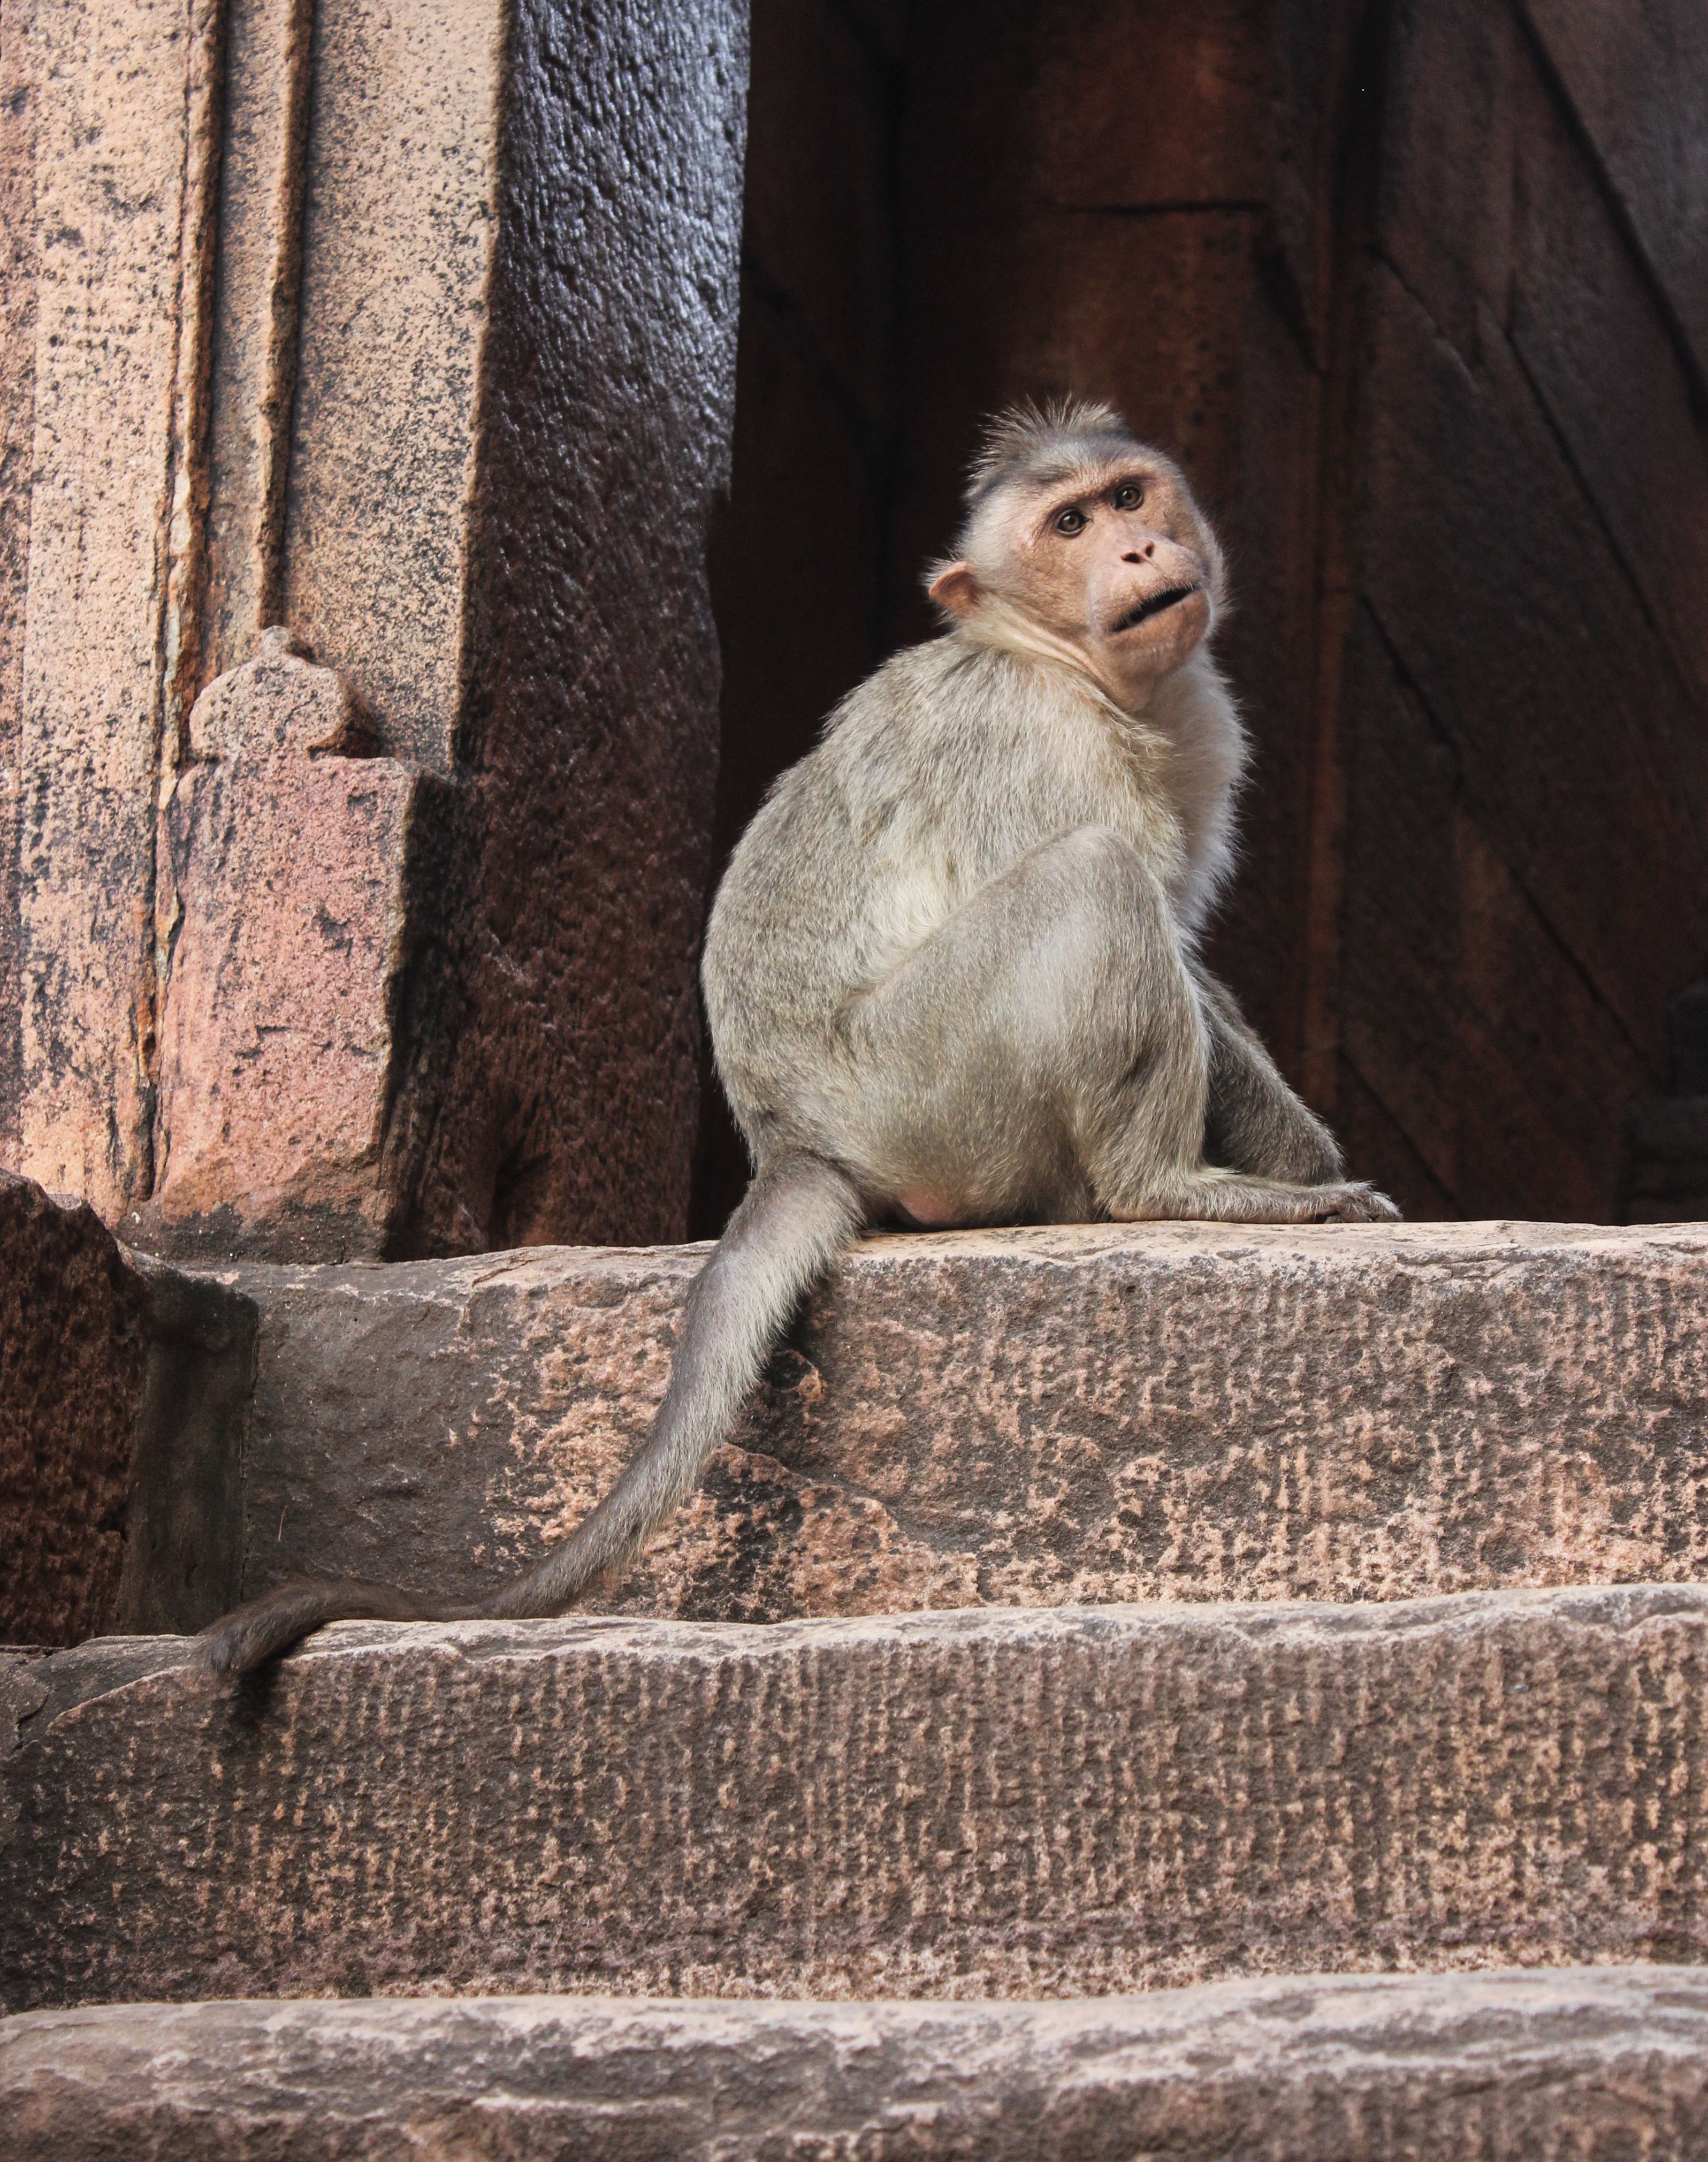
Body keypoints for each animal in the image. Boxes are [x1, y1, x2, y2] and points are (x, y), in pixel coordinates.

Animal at [200, 398, 1397, 1675]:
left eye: (1127, 497)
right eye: (1067, 526)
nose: (1135, 548)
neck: (1050, 658)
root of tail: (794, 1143)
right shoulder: (1028, 742)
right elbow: (1147, 924)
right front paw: (1299, 1174)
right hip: (930, 1089)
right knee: (1092, 876)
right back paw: (1162, 1188)